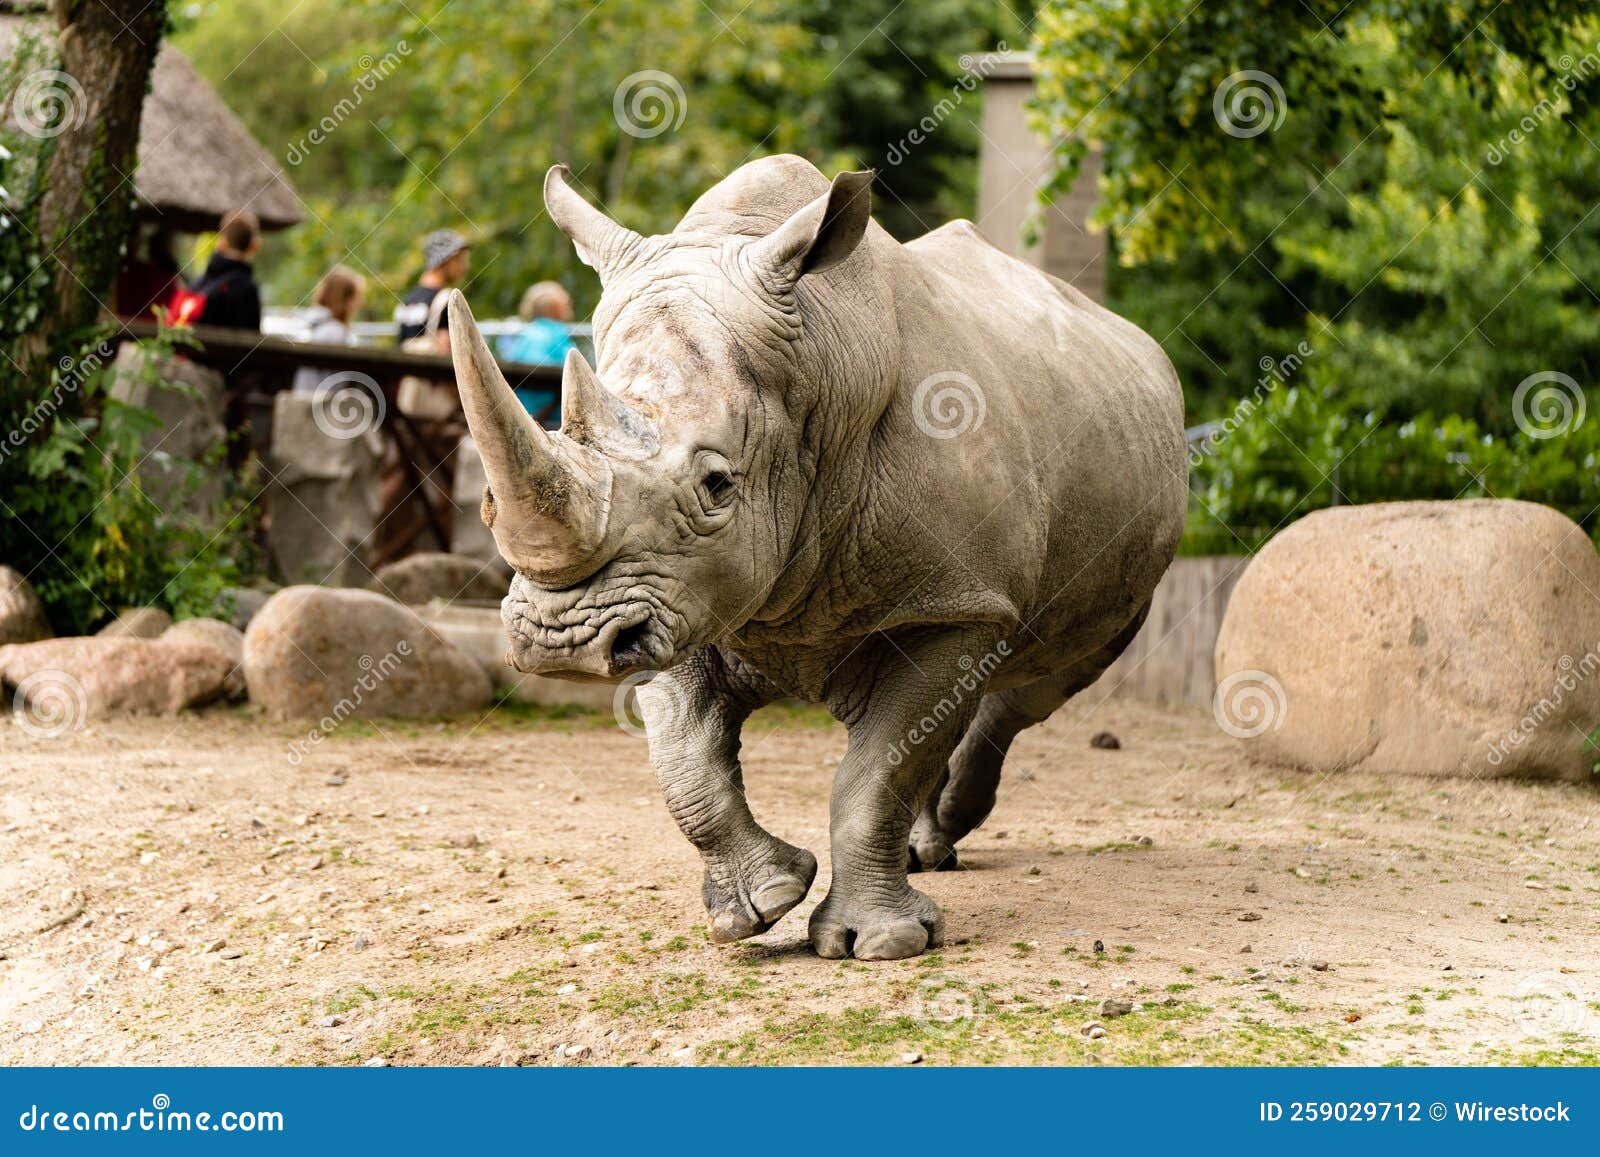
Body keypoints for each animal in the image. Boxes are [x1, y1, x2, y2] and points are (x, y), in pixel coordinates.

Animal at [448, 155, 1186, 960]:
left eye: (717, 485)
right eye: (487, 505)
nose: (562, 642)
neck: (815, 376)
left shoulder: (951, 602)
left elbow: (877, 772)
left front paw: (882, 943)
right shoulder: (668, 594)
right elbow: (684, 761)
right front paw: (757, 907)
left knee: (1048, 673)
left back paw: (947, 832)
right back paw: (925, 852)